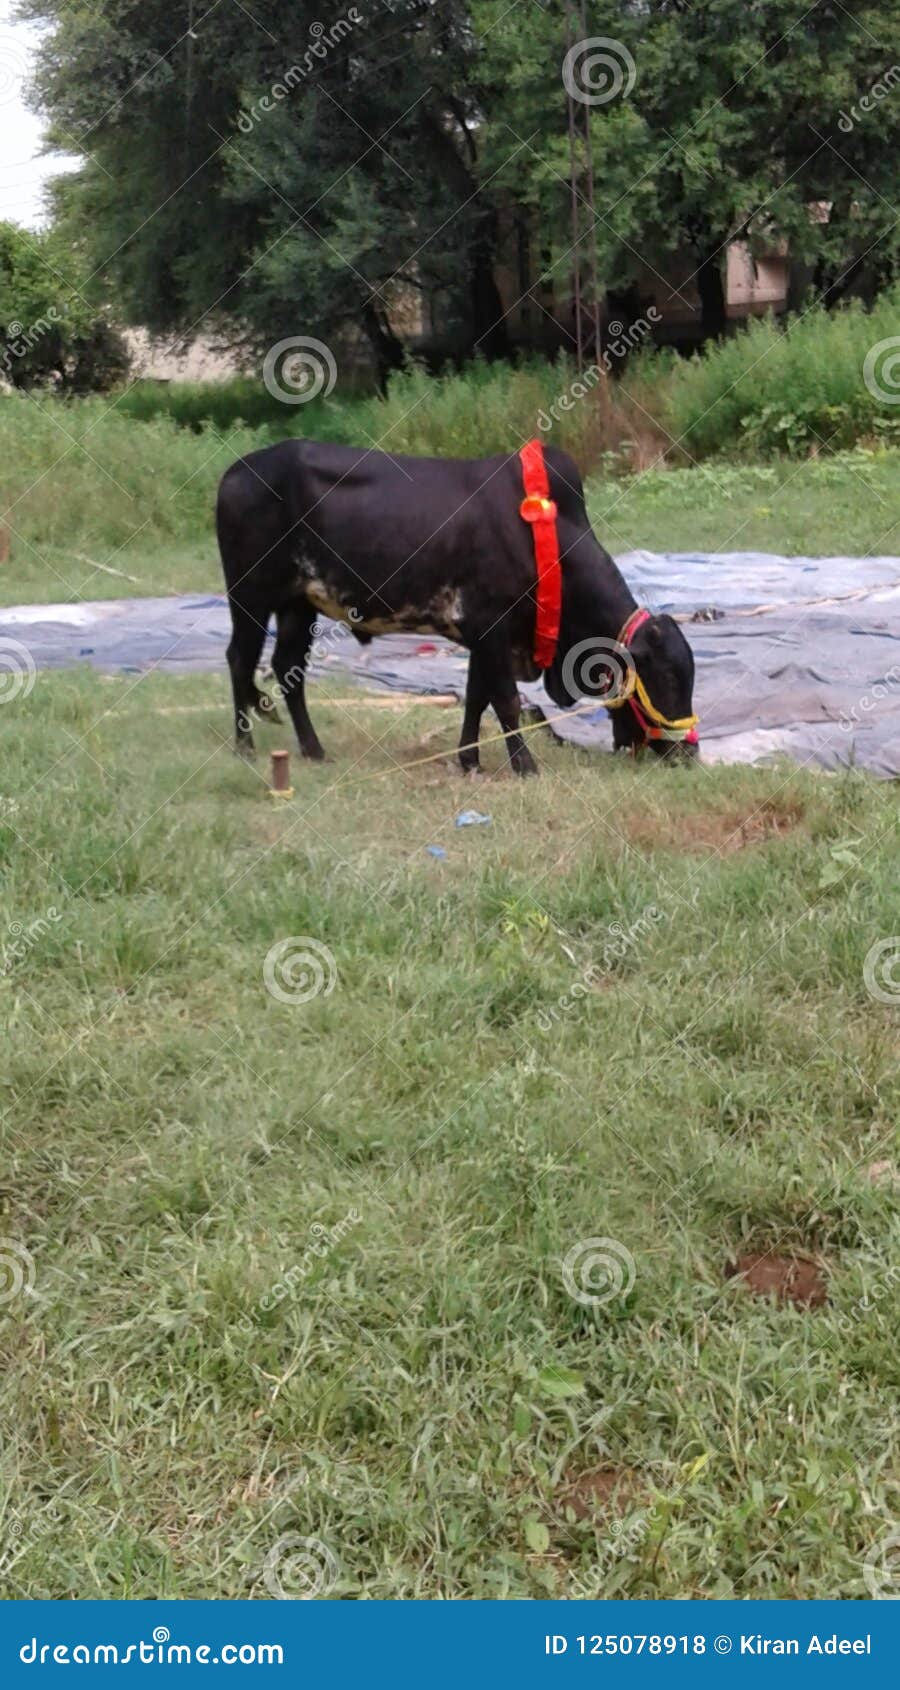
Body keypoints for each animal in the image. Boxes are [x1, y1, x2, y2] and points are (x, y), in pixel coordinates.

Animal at [215, 438, 698, 776]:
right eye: (668, 678)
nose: (689, 752)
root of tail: (236, 470)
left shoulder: (482, 636)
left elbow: (476, 699)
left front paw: (470, 760)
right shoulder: (492, 626)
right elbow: (504, 700)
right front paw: (525, 766)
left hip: (298, 605)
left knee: (287, 668)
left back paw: (314, 750)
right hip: (249, 595)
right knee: (240, 659)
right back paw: (245, 746)